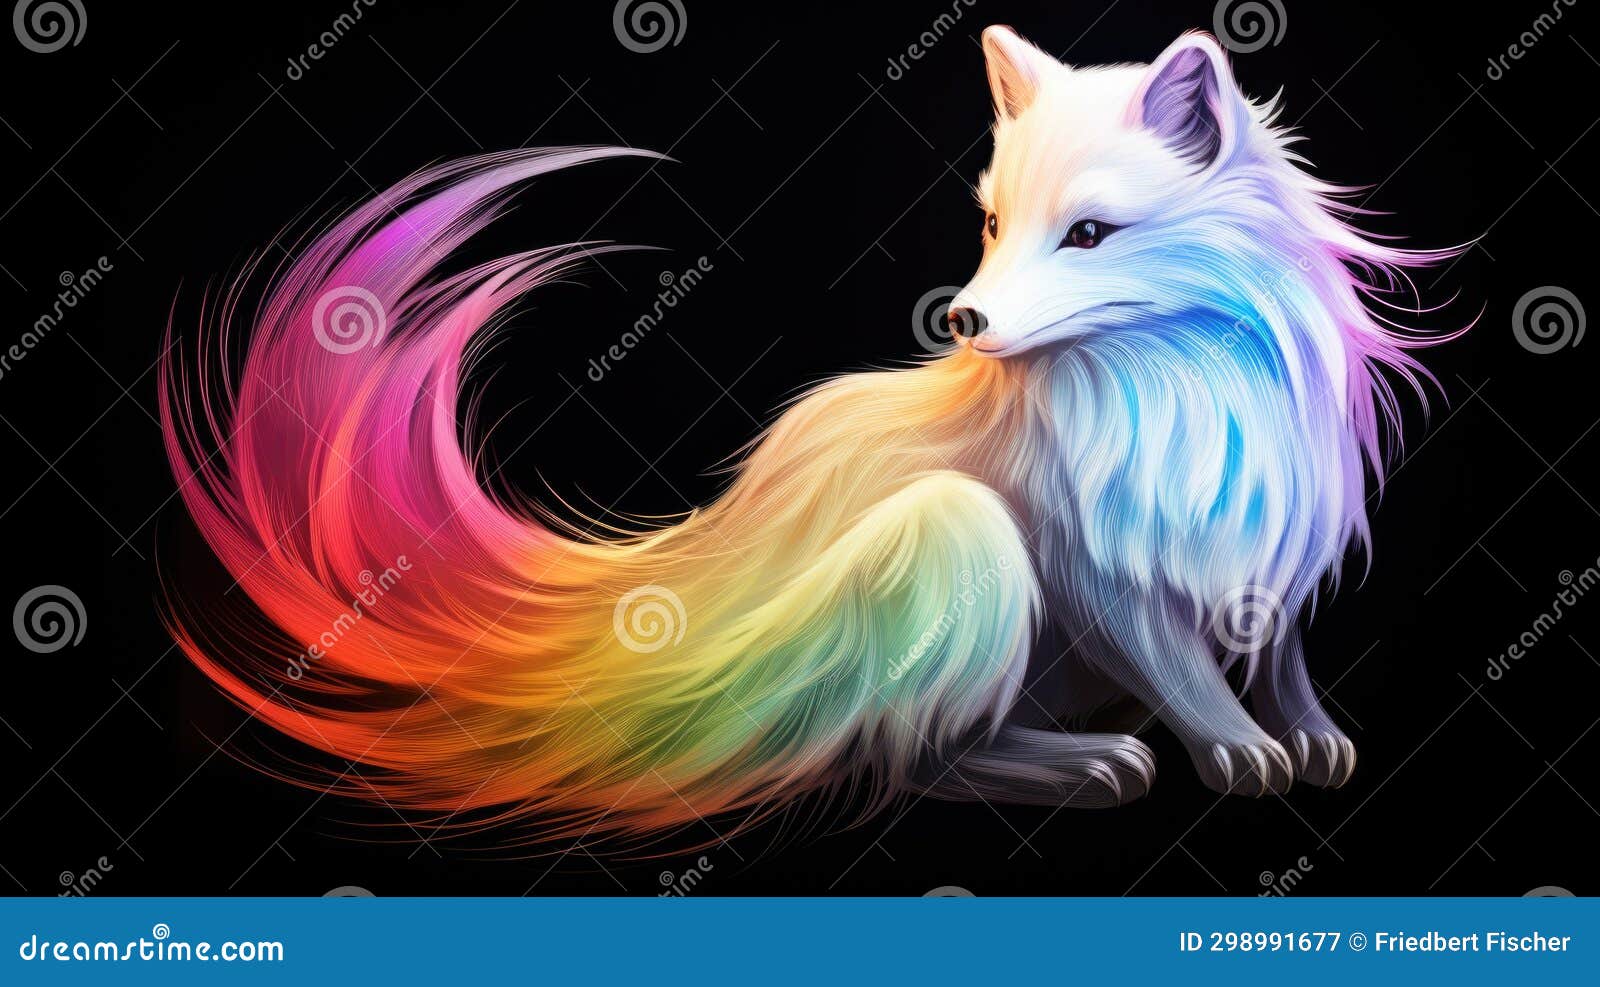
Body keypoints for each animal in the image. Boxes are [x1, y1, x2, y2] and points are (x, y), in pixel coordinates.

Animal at [161, 27, 1462, 845]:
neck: (1181, 390)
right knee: (903, 759)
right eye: (993, 224)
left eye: (1088, 234)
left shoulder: (1273, 535)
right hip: (962, 532)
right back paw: (1081, 766)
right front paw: (1236, 750)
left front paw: (1308, 734)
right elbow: (1183, 669)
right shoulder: (1093, 558)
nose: (964, 319)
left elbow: (1279, 655)